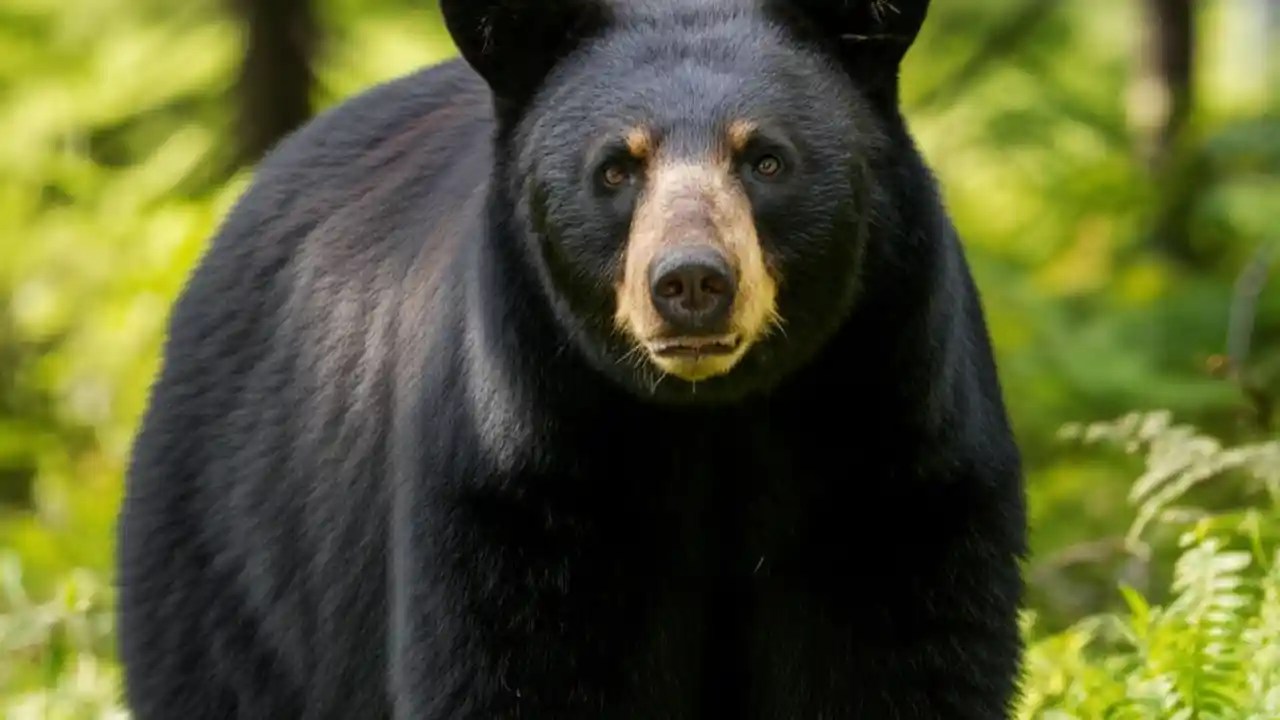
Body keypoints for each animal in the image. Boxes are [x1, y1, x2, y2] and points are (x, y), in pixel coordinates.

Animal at [115, 0, 1028, 718]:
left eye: (766, 158)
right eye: (617, 167)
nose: (691, 281)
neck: (713, 422)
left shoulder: (899, 447)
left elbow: (901, 660)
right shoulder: (515, 474)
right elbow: (519, 670)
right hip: (233, 556)